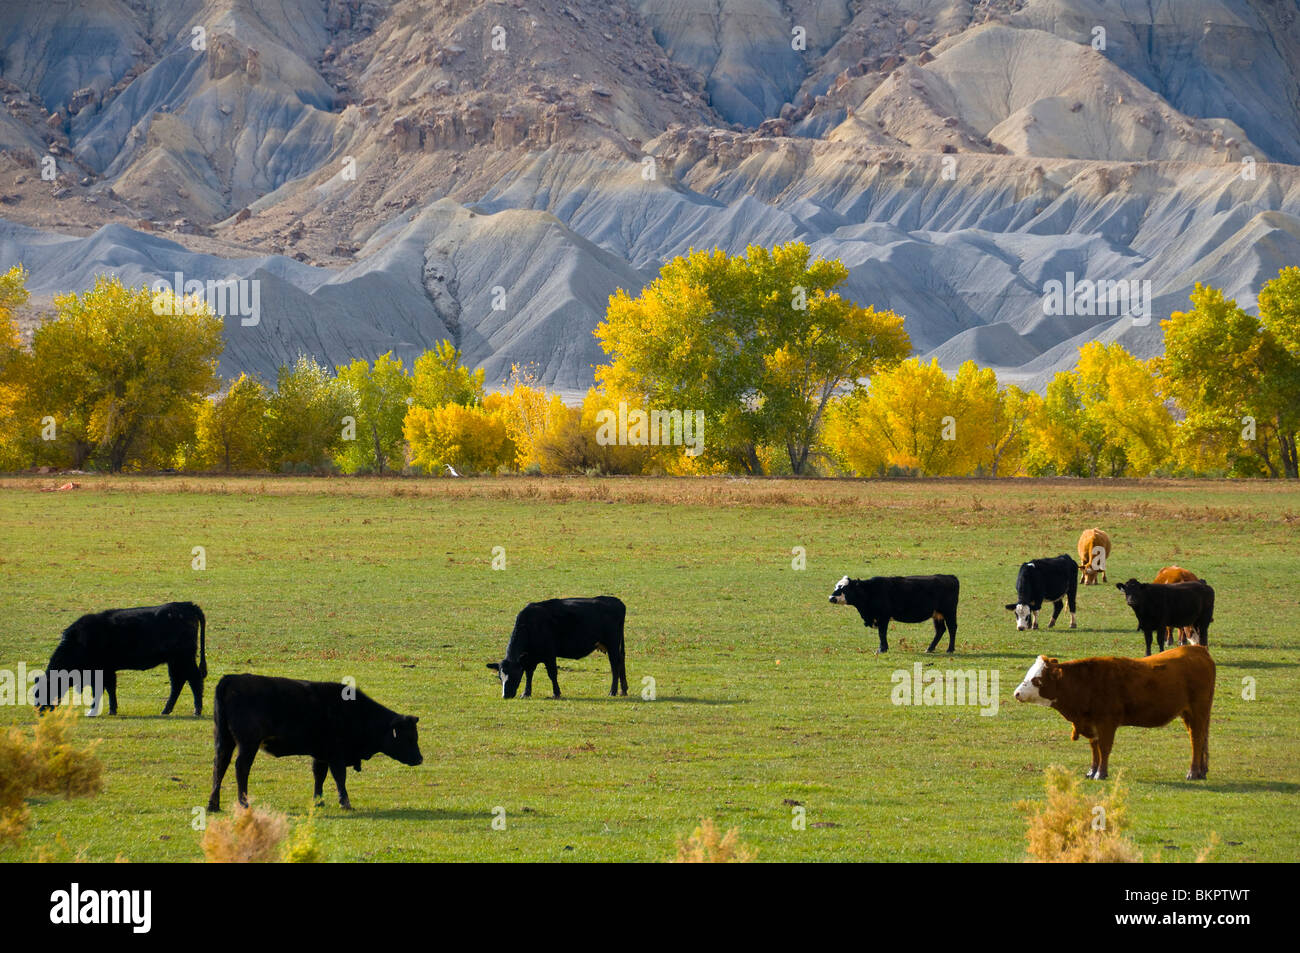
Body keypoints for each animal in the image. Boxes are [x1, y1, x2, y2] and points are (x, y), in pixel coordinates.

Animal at [34, 602, 206, 716]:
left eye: (43, 691)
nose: (39, 711)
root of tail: (186, 605)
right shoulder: (108, 670)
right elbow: (111, 688)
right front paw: (112, 709)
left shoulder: (100, 670)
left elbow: (99, 690)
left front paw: (93, 711)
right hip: (175, 660)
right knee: (179, 682)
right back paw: (166, 710)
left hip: (183, 657)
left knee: (193, 679)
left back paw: (196, 710)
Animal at [207, 674, 422, 812]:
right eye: (408, 737)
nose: (420, 759)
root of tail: (231, 679)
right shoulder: (336, 755)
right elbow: (339, 777)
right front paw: (345, 802)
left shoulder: (321, 754)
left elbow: (319, 775)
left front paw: (318, 801)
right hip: (248, 744)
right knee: (241, 767)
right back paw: (243, 803)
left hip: (224, 741)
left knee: (220, 765)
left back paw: (213, 805)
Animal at [487, 596, 628, 698]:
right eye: (500, 677)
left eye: (515, 674)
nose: (506, 695)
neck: (531, 626)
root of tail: (617, 601)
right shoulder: (530, 658)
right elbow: (529, 674)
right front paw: (526, 693)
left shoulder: (550, 654)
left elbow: (552, 673)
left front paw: (556, 693)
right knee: (621, 661)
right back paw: (623, 690)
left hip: (612, 645)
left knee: (615, 665)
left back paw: (613, 691)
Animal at [828, 574, 960, 654]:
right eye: (836, 586)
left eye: (845, 589)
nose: (831, 598)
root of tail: (950, 577)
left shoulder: (883, 617)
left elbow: (882, 633)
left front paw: (882, 649)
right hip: (937, 614)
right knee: (940, 629)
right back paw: (930, 648)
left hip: (949, 612)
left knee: (952, 628)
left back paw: (950, 649)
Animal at [1014, 645, 1215, 780]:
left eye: (1037, 680)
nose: (1017, 693)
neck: (1086, 682)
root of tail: (1197, 649)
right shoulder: (1091, 723)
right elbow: (1094, 748)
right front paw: (1092, 771)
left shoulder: (1106, 723)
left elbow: (1104, 748)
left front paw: (1101, 773)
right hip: (1190, 714)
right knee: (1201, 739)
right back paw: (1201, 771)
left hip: (1198, 711)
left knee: (1196, 740)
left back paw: (1192, 772)